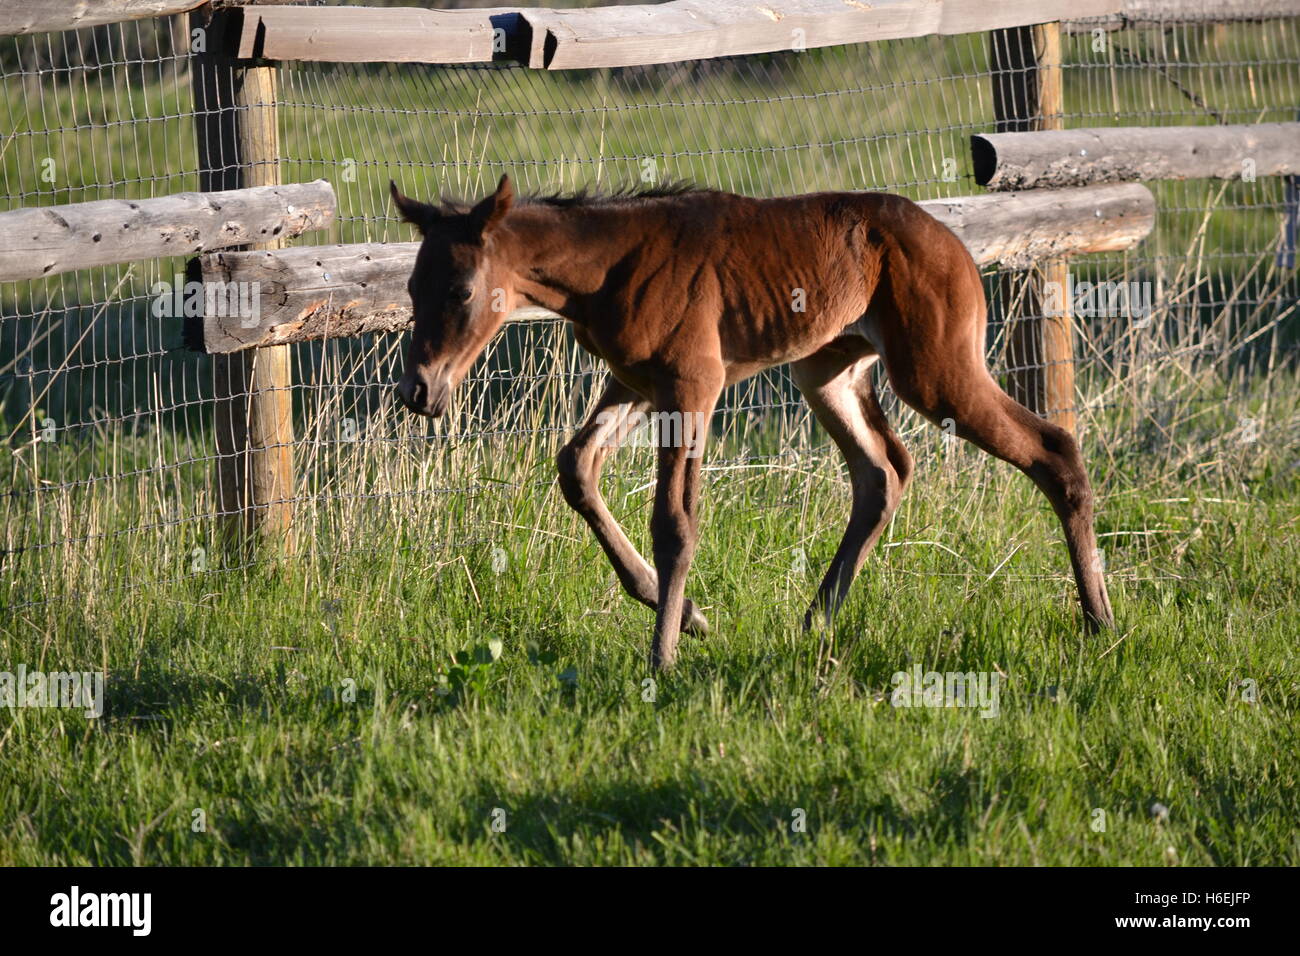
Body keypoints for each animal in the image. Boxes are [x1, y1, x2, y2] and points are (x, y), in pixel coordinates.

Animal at [390, 175, 1114, 669]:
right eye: (411, 290)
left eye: (460, 291)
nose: (418, 390)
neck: (608, 269)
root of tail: (955, 247)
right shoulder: (638, 383)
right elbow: (577, 466)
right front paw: (687, 616)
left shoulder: (693, 384)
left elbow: (675, 523)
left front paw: (663, 655)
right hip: (827, 372)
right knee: (882, 473)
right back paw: (816, 622)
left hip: (934, 370)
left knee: (1053, 447)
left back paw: (1100, 619)